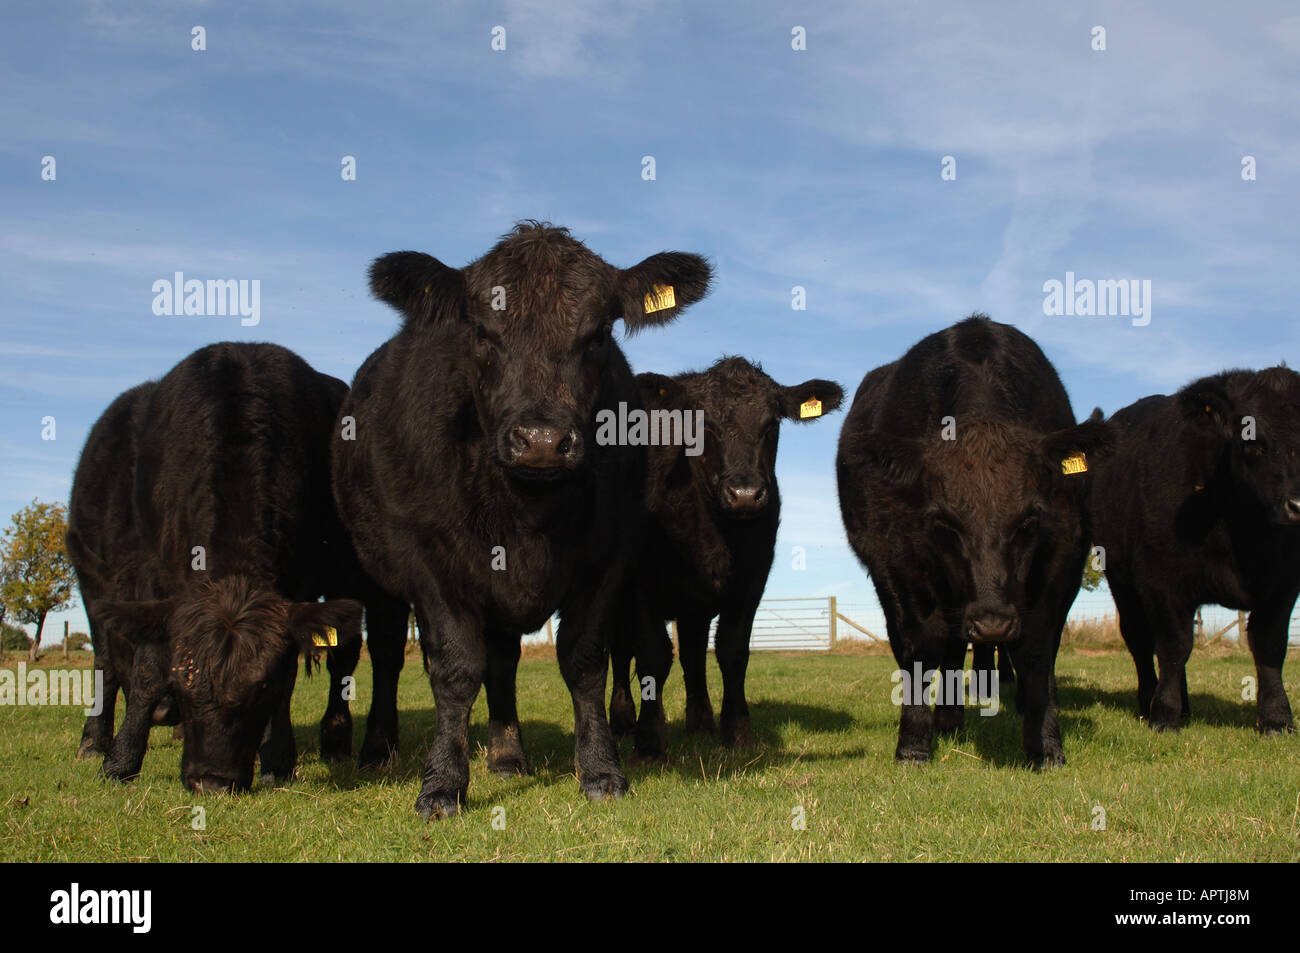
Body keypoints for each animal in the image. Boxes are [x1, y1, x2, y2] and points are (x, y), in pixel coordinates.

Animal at [67, 342, 409, 792]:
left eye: (261, 688)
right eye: (183, 682)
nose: (212, 781)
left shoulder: (298, 582)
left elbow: (292, 673)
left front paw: (277, 759)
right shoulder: (152, 576)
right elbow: (143, 670)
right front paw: (120, 760)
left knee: (378, 654)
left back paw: (371, 748)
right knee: (105, 659)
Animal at [331, 221, 713, 819]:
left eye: (598, 334)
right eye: (481, 332)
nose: (540, 442)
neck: (529, 513)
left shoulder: (608, 555)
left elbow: (583, 660)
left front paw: (600, 771)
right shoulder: (429, 561)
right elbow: (455, 666)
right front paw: (442, 784)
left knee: (503, 659)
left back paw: (508, 754)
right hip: (379, 579)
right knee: (392, 656)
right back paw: (377, 749)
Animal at [606, 358, 844, 760]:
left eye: (771, 424)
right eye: (702, 425)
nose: (745, 494)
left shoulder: (752, 578)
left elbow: (731, 651)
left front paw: (736, 732)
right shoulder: (640, 583)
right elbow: (653, 654)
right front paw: (649, 741)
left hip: (693, 605)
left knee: (691, 652)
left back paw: (700, 722)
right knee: (620, 652)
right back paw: (622, 720)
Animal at [835, 315, 1112, 766]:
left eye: (1028, 519)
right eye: (944, 522)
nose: (992, 622)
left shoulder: (1065, 554)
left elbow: (1037, 649)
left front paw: (1046, 746)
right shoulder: (896, 558)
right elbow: (920, 645)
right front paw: (913, 745)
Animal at [1090, 367, 1300, 734]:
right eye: (1253, 442)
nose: (1299, 505)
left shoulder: (1284, 583)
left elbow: (1269, 644)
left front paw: (1276, 718)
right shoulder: (1159, 579)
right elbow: (1174, 646)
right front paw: (1164, 714)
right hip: (1120, 578)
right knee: (1141, 641)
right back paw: (1150, 701)